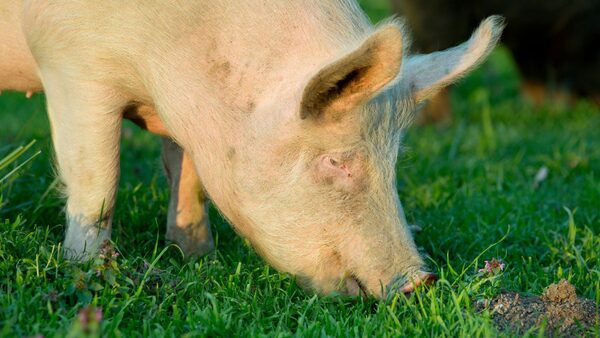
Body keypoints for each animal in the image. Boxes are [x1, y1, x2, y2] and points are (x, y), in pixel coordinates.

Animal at [0, 0, 504, 296]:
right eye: (336, 160)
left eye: (393, 163)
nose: (422, 280)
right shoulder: (71, 64)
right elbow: (98, 179)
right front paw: (90, 270)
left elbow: (188, 177)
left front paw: (197, 258)